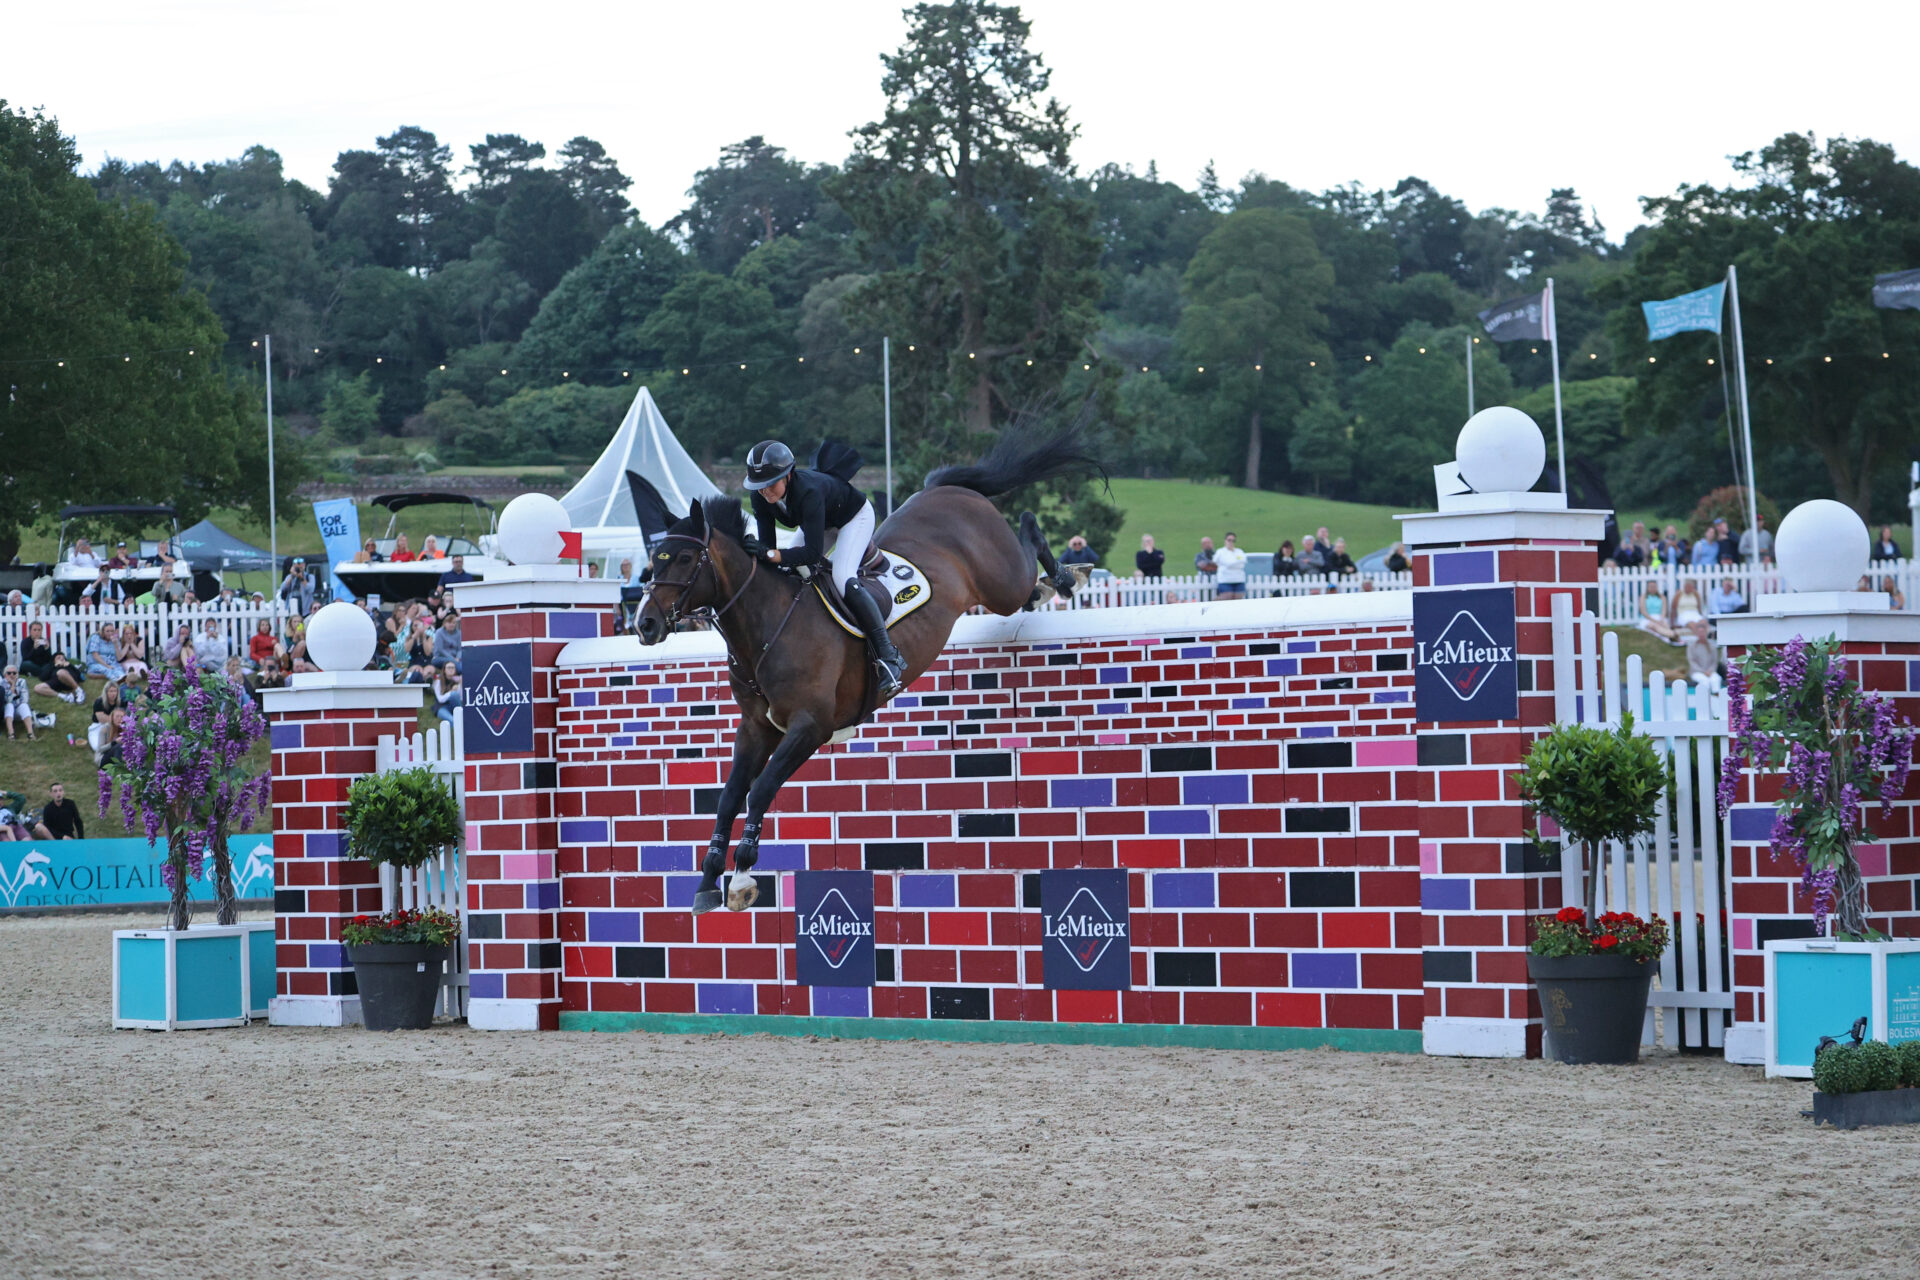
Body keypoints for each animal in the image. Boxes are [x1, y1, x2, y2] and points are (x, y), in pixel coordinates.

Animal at [635, 430, 1102, 914]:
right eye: (655, 558)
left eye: (684, 560)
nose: (644, 624)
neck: (766, 625)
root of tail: (943, 490)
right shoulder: (756, 727)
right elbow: (729, 796)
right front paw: (708, 878)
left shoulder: (811, 726)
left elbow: (761, 788)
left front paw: (743, 875)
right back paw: (1050, 586)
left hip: (1000, 581)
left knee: (1026, 531)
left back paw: (1068, 575)